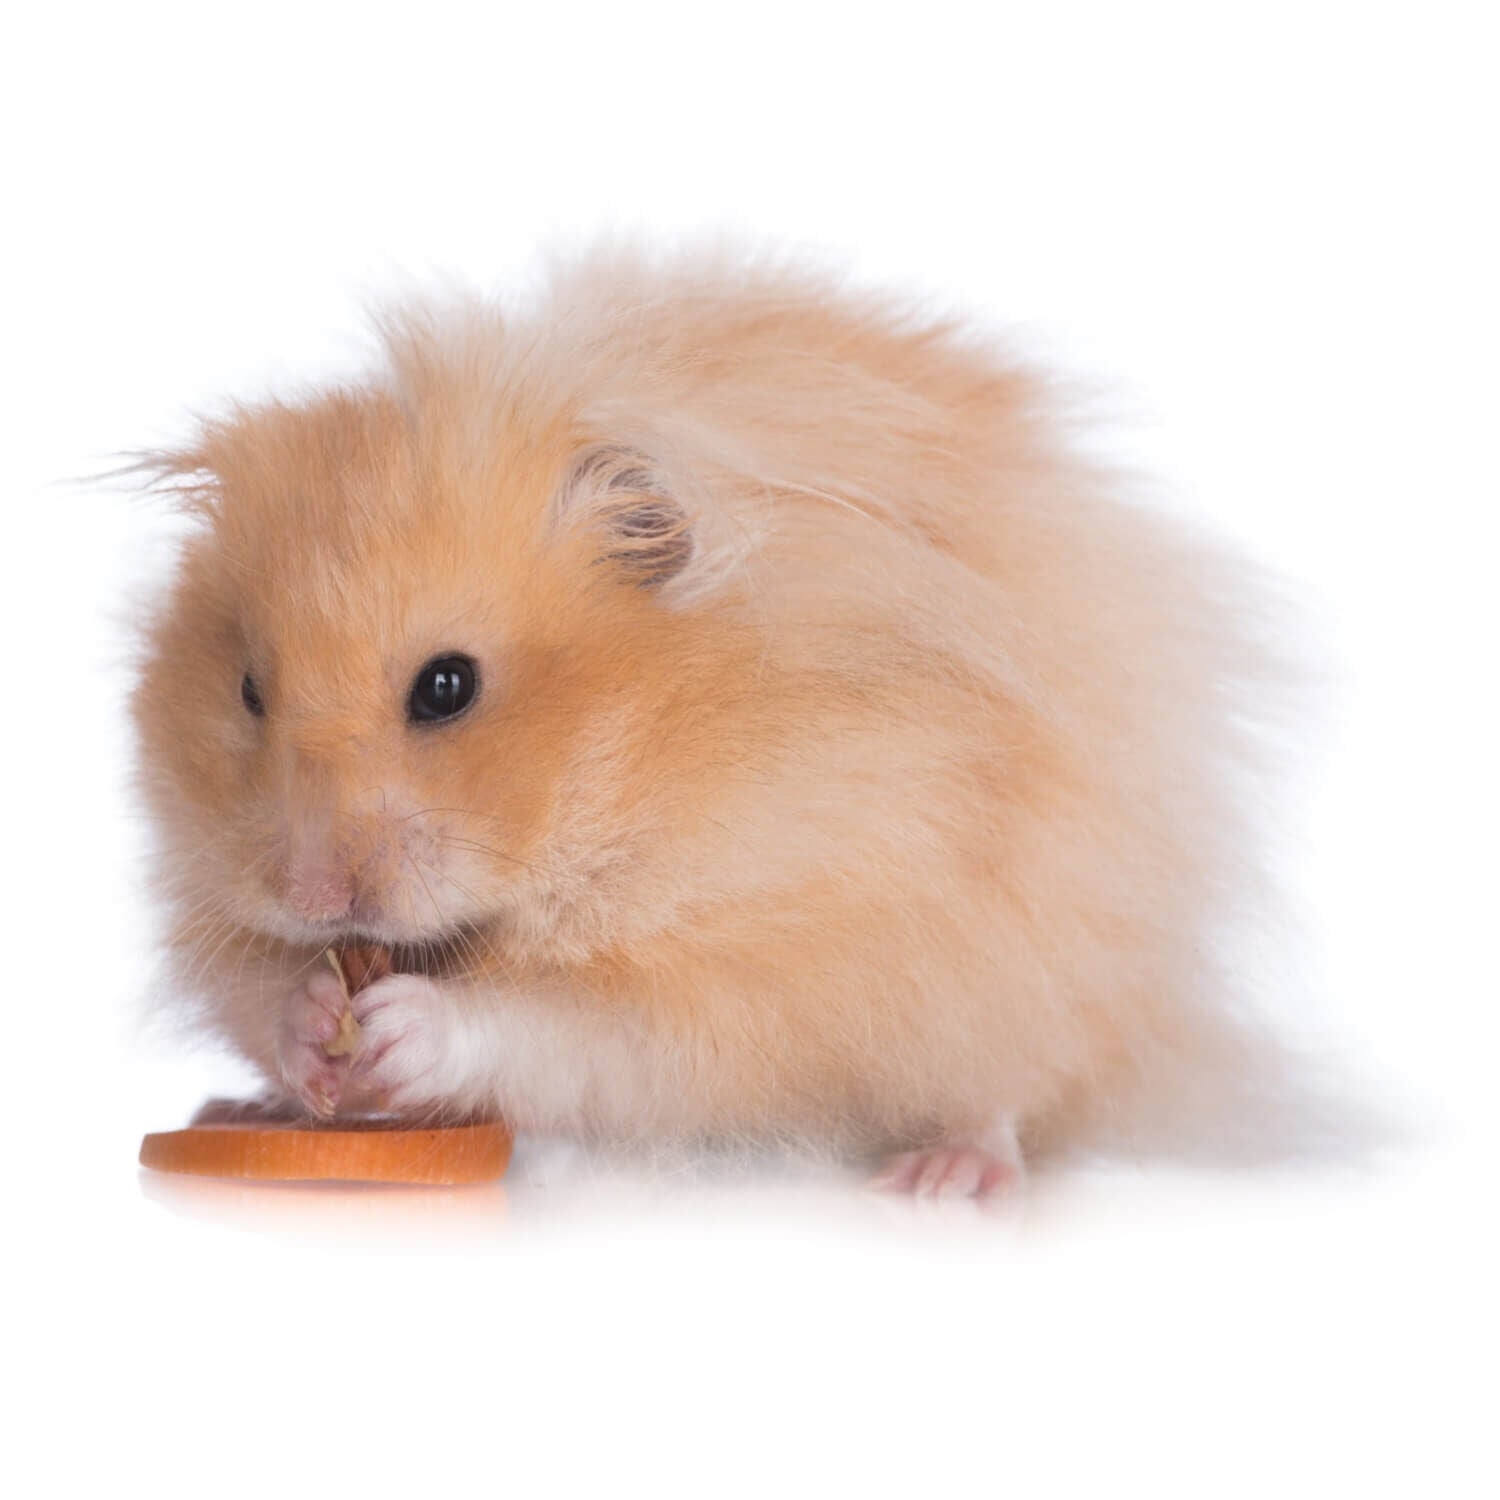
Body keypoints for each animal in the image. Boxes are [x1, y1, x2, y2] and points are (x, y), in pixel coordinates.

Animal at [131, 247, 1282, 1196]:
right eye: (248, 691)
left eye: (447, 687)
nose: (311, 894)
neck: (649, 750)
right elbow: (254, 984)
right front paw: (308, 1020)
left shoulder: (758, 957)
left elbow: (554, 1024)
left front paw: (405, 1025)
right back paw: (241, 1105)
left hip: (1039, 955)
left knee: (1011, 1083)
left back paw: (946, 1179)